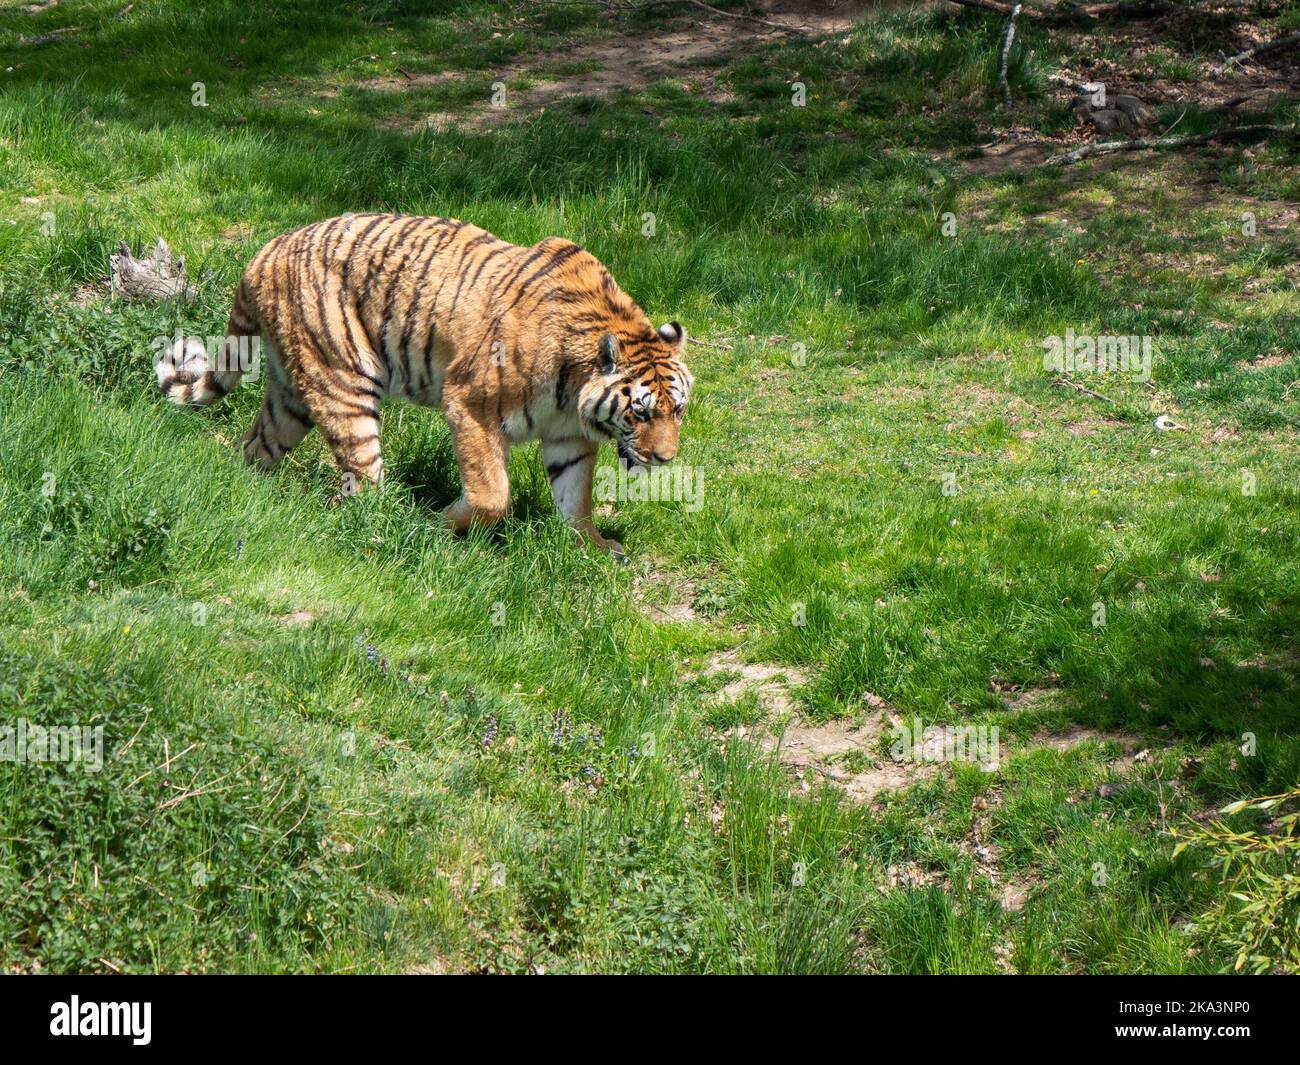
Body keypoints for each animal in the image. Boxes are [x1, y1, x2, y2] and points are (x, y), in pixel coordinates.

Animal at [155, 213, 693, 558]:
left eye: (678, 410)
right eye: (640, 411)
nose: (665, 458)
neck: (574, 384)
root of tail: (264, 252)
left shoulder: (570, 437)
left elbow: (575, 498)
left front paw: (594, 548)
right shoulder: (471, 405)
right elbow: (491, 494)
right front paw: (442, 524)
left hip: (290, 398)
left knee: (255, 446)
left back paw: (255, 493)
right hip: (345, 386)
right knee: (362, 484)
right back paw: (388, 530)